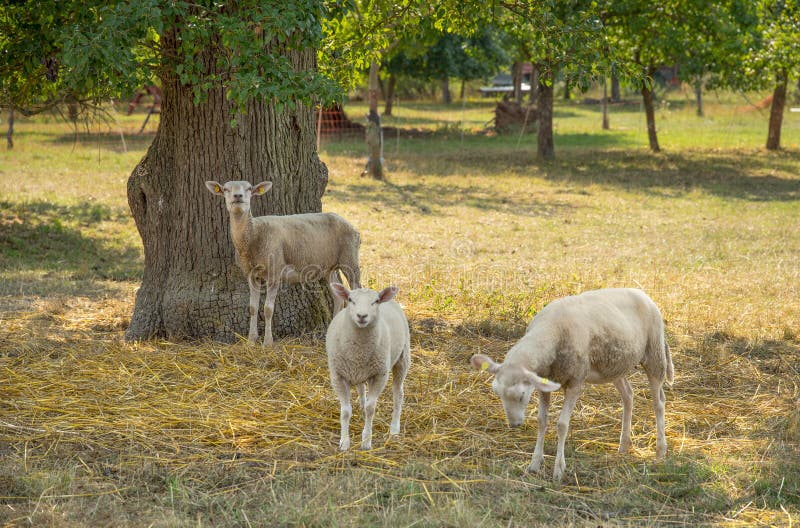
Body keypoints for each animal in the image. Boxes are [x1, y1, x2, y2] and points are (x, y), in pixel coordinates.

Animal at [206, 180, 361, 346]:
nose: (238, 196)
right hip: (328, 267)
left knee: (357, 289)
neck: (254, 234)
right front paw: (251, 340)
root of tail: (351, 225)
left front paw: (267, 342)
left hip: (350, 258)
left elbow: (267, 309)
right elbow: (252, 308)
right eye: (226, 189)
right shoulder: (251, 275)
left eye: (249, 188)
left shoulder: (275, 272)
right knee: (338, 297)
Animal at [326, 283, 411, 451]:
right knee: (361, 388)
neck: (358, 351)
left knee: (398, 394)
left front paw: (366, 441)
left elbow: (371, 408)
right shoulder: (338, 376)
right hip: (359, 371)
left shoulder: (379, 375)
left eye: (376, 301)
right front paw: (344, 442)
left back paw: (394, 428)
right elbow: (345, 411)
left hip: (402, 358)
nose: (362, 316)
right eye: (350, 300)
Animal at [470, 287, 673, 483]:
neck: (551, 332)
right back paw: (624, 445)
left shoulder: (575, 382)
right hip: (615, 365)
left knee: (659, 402)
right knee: (628, 395)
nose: (514, 425)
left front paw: (558, 470)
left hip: (654, 354)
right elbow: (542, 421)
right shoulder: (544, 382)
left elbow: (562, 425)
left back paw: (660, 450)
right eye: (497, 393)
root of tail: (642, 293)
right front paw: (534, 464)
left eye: (521, 395)